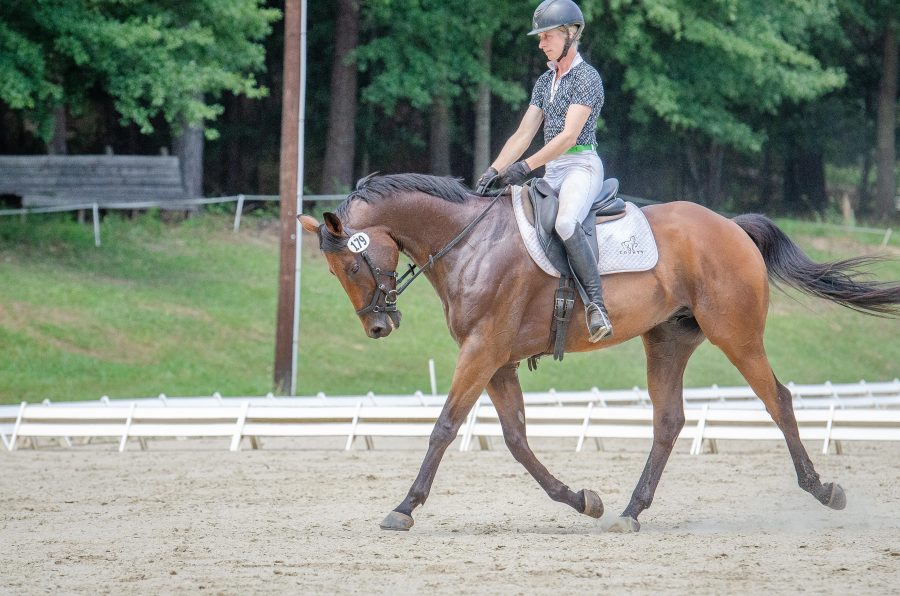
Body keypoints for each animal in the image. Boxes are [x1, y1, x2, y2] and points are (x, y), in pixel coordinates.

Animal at [298, 173, 900, 533]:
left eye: (350, 264)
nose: (378, 326)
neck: (468, 241)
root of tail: (730, 225)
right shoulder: (498, 360)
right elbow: (516, 440)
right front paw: (582, 499)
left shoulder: (482, 350)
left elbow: (445, 427)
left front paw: (404, 508)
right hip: (668, 341)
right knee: (668, 421)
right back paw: (631, 512)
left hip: (737, 334)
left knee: (778, 400)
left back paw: (822, 489)